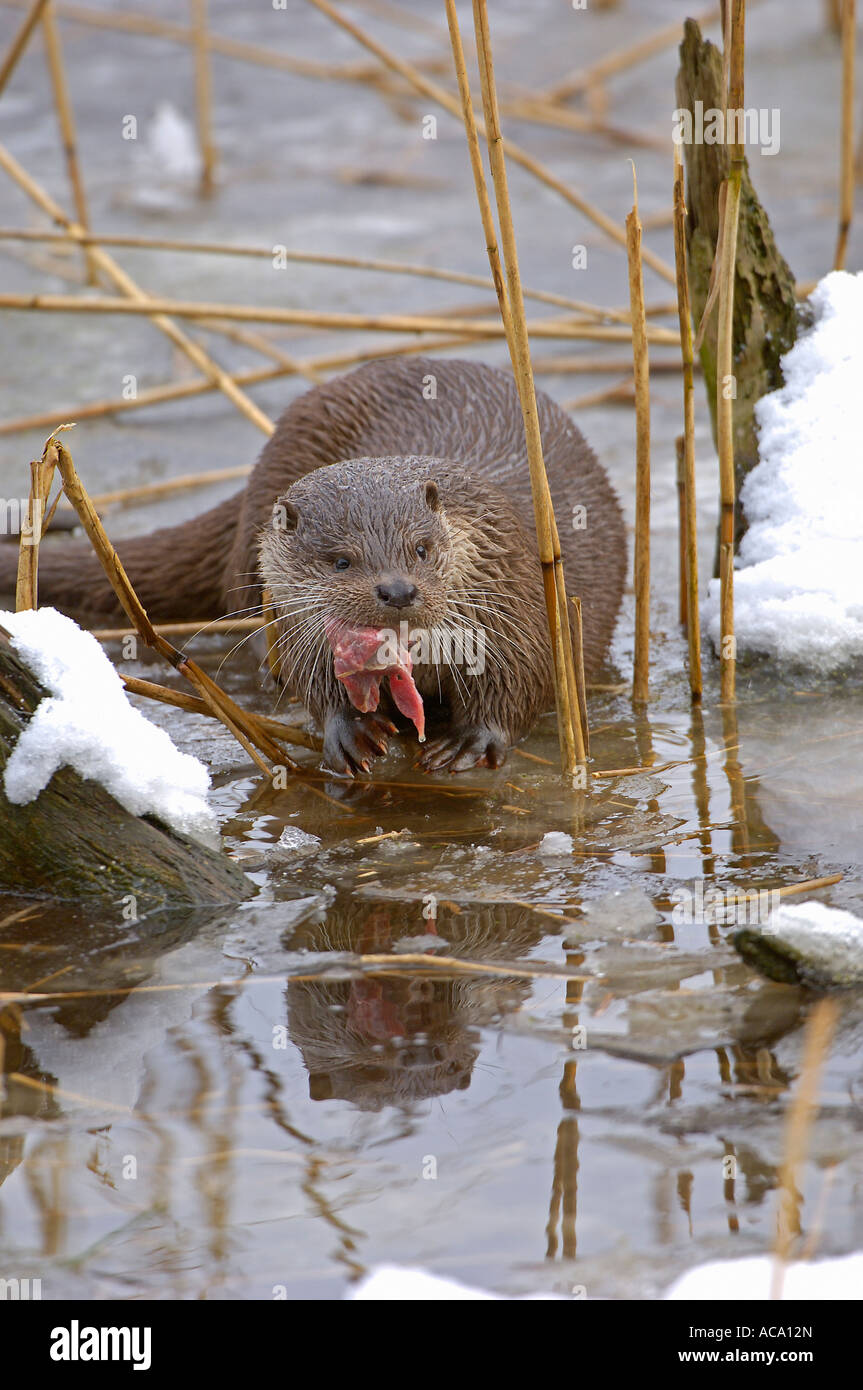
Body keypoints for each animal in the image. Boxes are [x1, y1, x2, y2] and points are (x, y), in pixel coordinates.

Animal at [0, 358, 626, 773]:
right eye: (340, 560)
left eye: (422, 548)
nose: (397, 591)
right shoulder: (292, 618)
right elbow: (309, 675)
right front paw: (346, 728)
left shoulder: (517, 600)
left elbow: (526, 675)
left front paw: (473, 741)